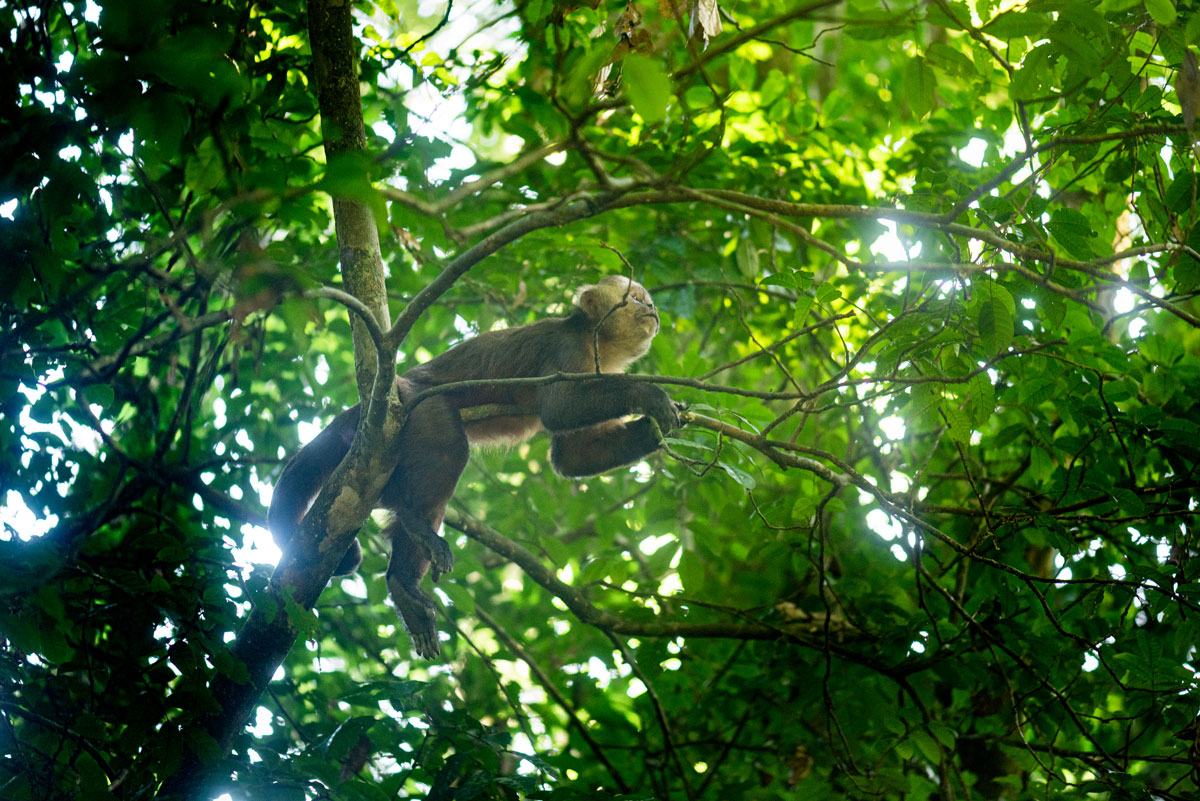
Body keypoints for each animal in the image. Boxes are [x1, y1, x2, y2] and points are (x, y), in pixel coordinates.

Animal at [267, 276, 679, 657]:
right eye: (634, 298)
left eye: (646, 298)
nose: (652, 308)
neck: (599, 342)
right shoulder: (569, 350)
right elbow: (559, 406)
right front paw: (649, 395)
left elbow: (570, 456)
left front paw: (655, 431)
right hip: (413, 405)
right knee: (447, 441)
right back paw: (419, 526)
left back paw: (404, 586)